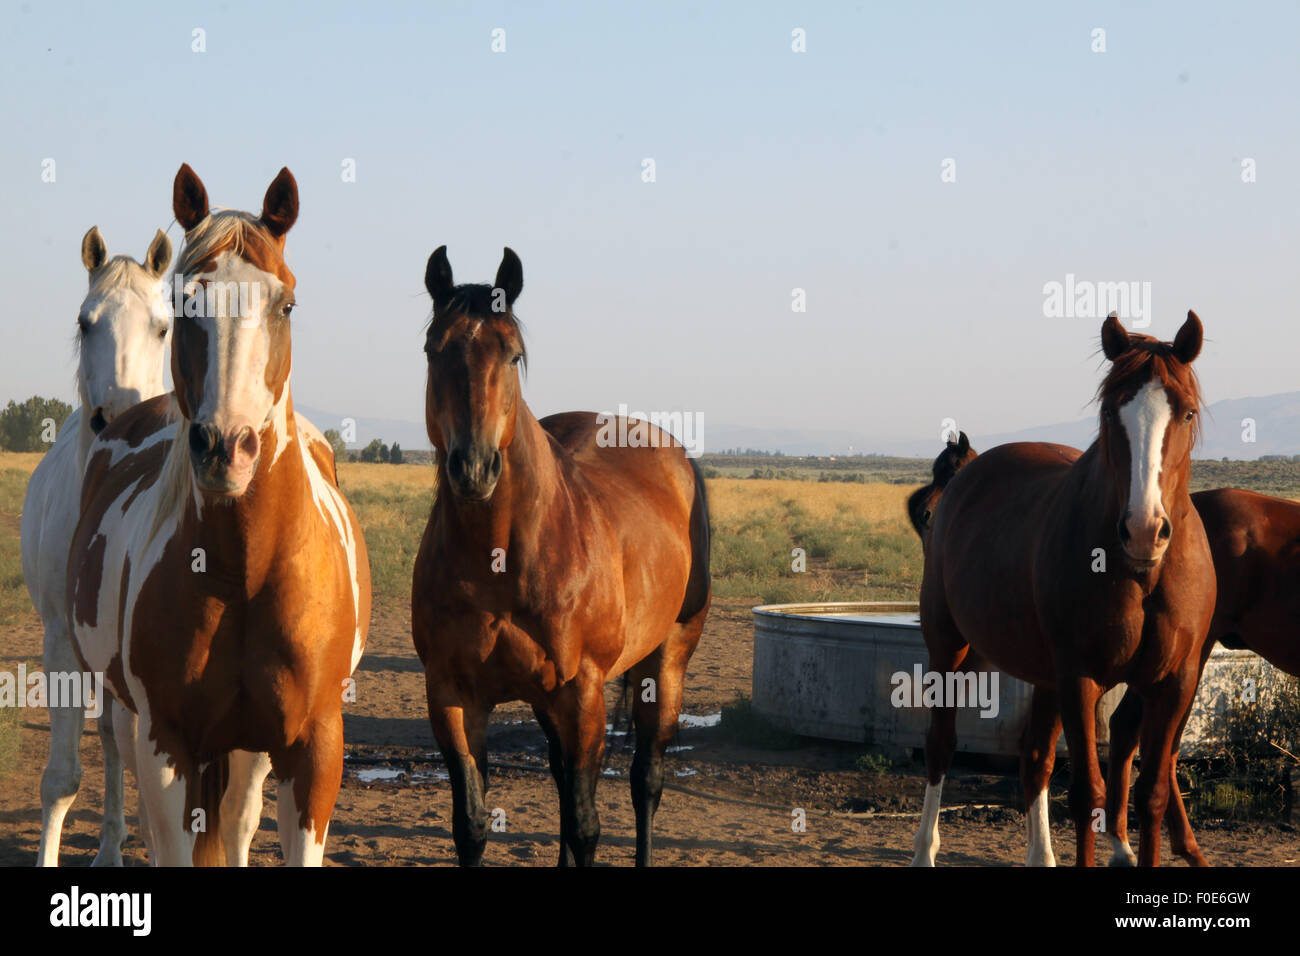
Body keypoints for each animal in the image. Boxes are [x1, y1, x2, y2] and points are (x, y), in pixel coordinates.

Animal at [66, 164, 371, 866]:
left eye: (286, 304)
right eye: (183, 306)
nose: (225, 447)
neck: (245, 568)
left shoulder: (313, 749)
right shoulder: (166, 744)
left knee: (235, 821)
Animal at [411, 246, 712, 866]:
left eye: (513, 354)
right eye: (434, 349)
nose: (473, 468)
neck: (501, 561)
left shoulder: (582, 694)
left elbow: (585, 824)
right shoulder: (452, 696)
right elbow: (472, 824)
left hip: (667, 662)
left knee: (646, 780)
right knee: (562, 777)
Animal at [913, 312, 1215, 867]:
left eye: (1185, 413)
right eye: (1110, 410)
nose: (1143, 530)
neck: (1142, 574)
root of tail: (969, 474)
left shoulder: (1173, 683)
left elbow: (1152, 794)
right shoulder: (1080, 678)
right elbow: (1088, 795)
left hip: (1040, 673)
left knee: (1034, 757)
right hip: (950, 648)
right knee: (940, 744)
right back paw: (924, 850)